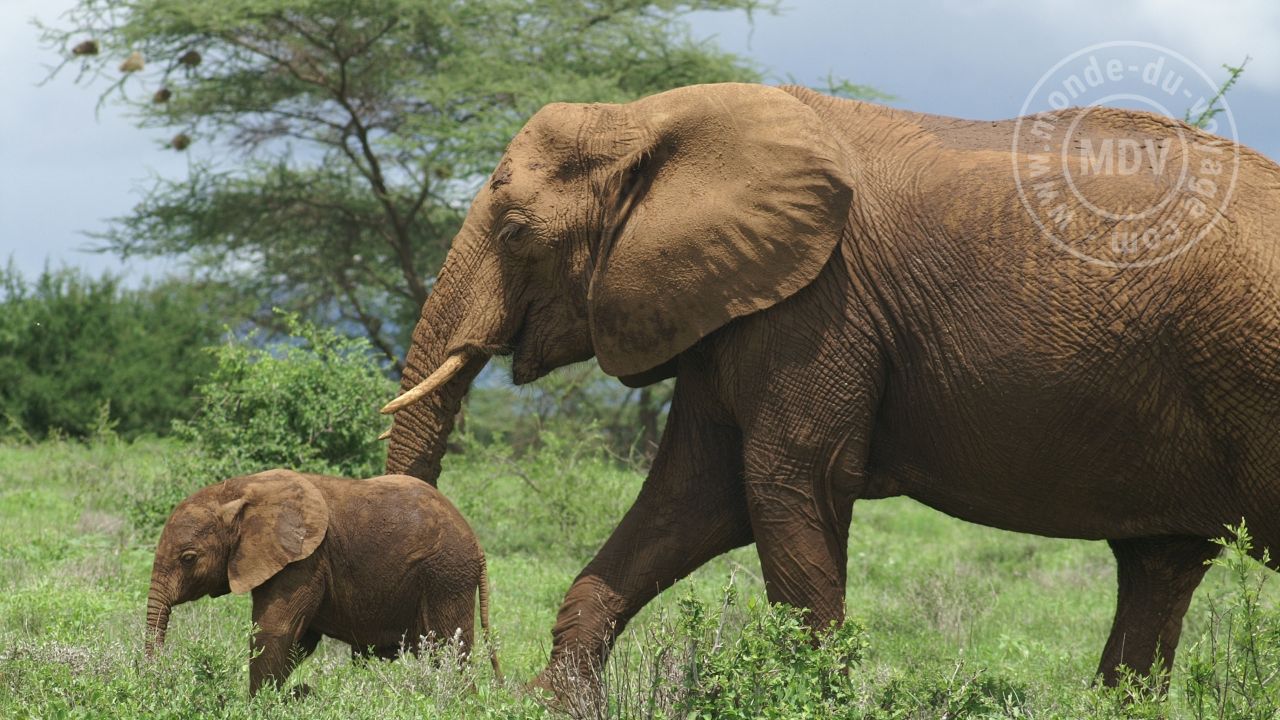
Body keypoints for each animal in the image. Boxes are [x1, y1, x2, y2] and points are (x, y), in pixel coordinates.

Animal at [144, 468, 494, 691]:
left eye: (188, 558)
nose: (155, 680)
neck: (238, 490)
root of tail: (477, 545)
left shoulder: (304, 560)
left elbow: (274, 631)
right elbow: (299, 641)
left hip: (446, 575)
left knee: (449, 650)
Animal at [378, 81, 1280, 686]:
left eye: (515, 232)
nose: (460, 674)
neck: (648, 118)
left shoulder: (818, 306)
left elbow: (786, 486)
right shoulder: (736, 303)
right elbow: (694, 499)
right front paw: (554, 701)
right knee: (1159, 567)